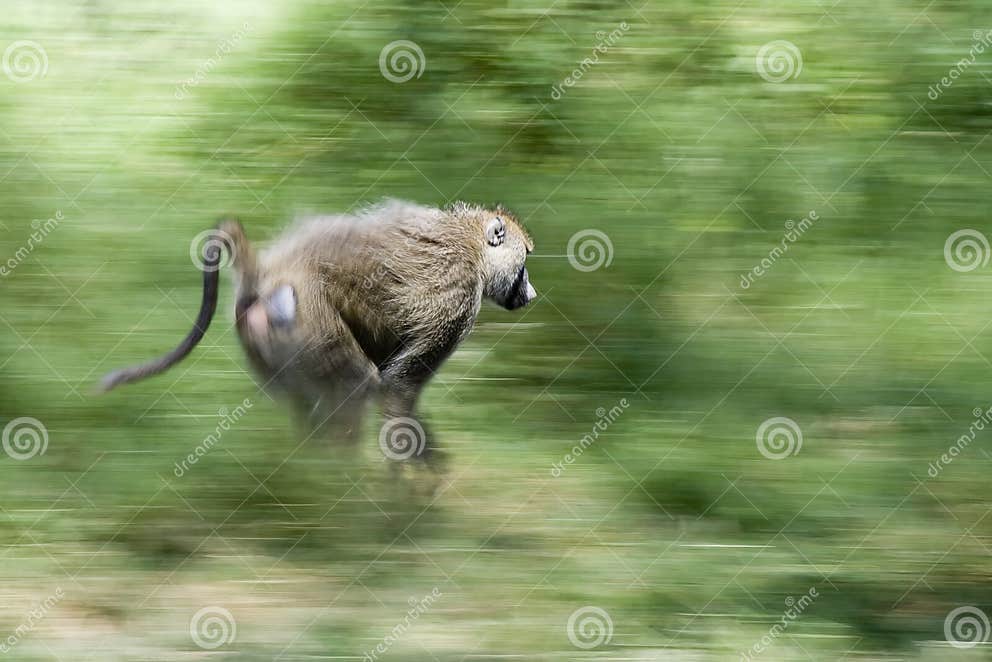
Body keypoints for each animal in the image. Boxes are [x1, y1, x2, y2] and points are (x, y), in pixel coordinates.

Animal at [100, 200, 537, 465]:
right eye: (524, 263)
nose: (531, 294)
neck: (471, 244)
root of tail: (269, 272)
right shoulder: (457, 303)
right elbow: (398, 389)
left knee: (305, 398)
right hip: (309, 319)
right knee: (356, 385)